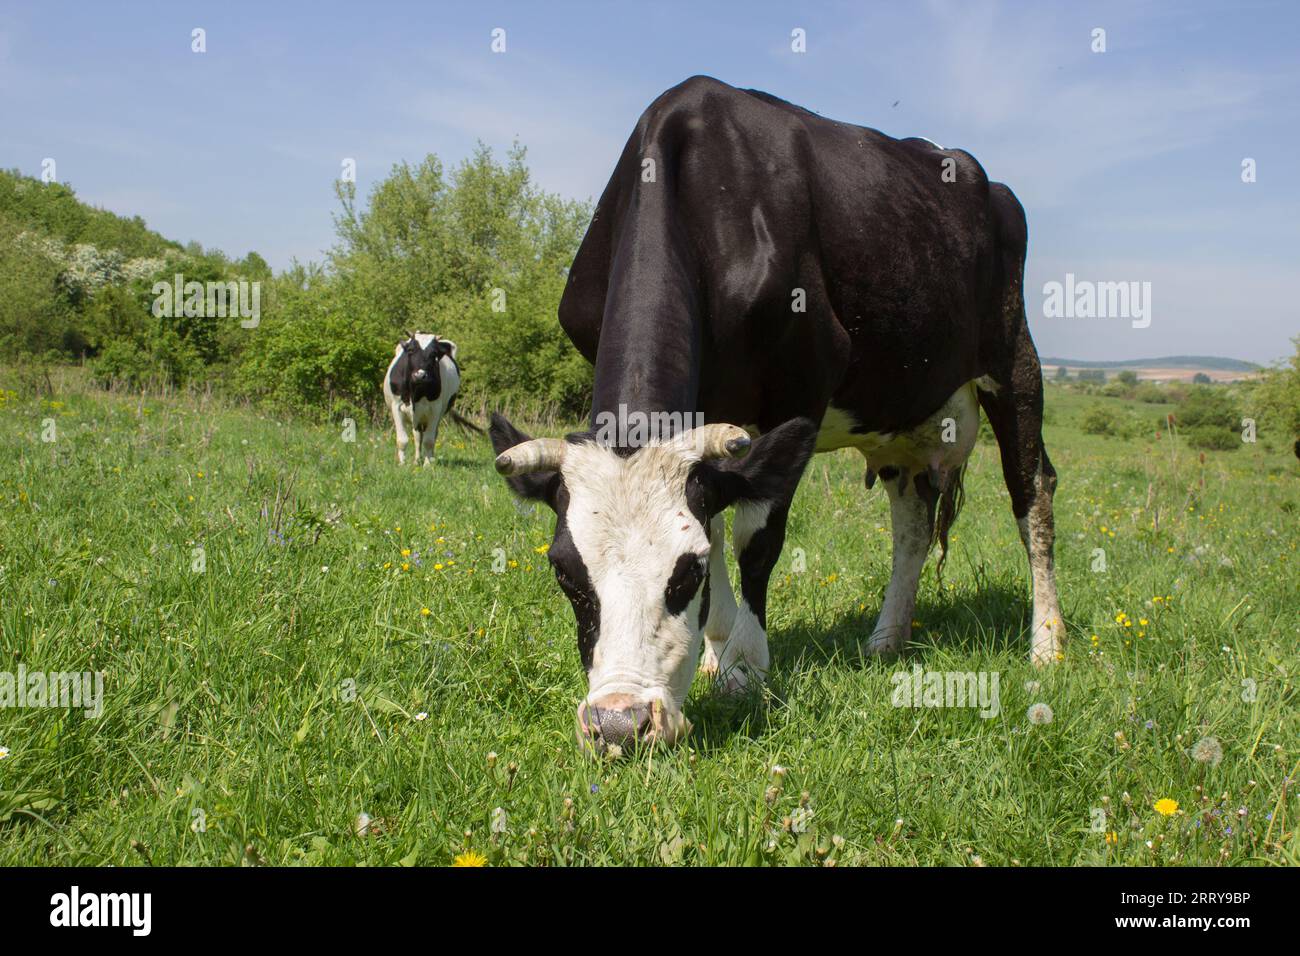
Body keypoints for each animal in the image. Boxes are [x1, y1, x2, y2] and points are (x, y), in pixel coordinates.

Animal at [383, 332, 462, 465]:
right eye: (410, 350)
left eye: (434, 354)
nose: (420, 375)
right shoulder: (396, 406)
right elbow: (402, 440)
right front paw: (402, 463)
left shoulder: (435, 409)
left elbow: (429, 440)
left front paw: (427, 464)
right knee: (417, 436)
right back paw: (416, 460)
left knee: (431, 436)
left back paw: (430, 458)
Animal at [489, 76, 1065, 754]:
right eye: (563, 570)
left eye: (686, 573)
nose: (619, 723)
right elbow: (718, 521)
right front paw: (714, 651)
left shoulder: (803, 388)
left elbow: (755, 538)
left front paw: (745, 666)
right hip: (902, 418)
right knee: (914, 524)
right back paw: (885, 639)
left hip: (1014, 360)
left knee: (1032, 492)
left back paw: (1047, 643)